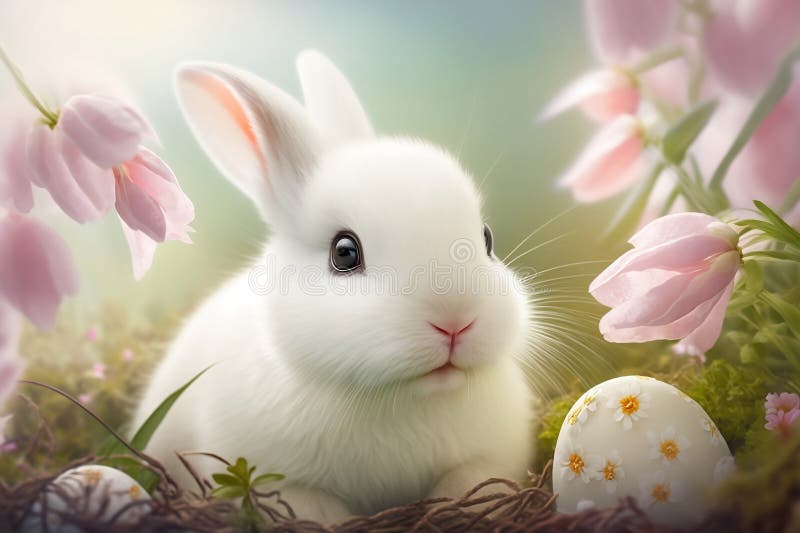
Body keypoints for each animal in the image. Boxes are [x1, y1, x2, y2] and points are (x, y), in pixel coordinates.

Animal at [132, 50, 535, 524]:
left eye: (487, 239)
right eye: (344, 252)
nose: (455, 323)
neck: (399, 398)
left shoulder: (489, 459)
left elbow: (468, 484)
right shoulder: (286, 486)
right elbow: (322, 514)